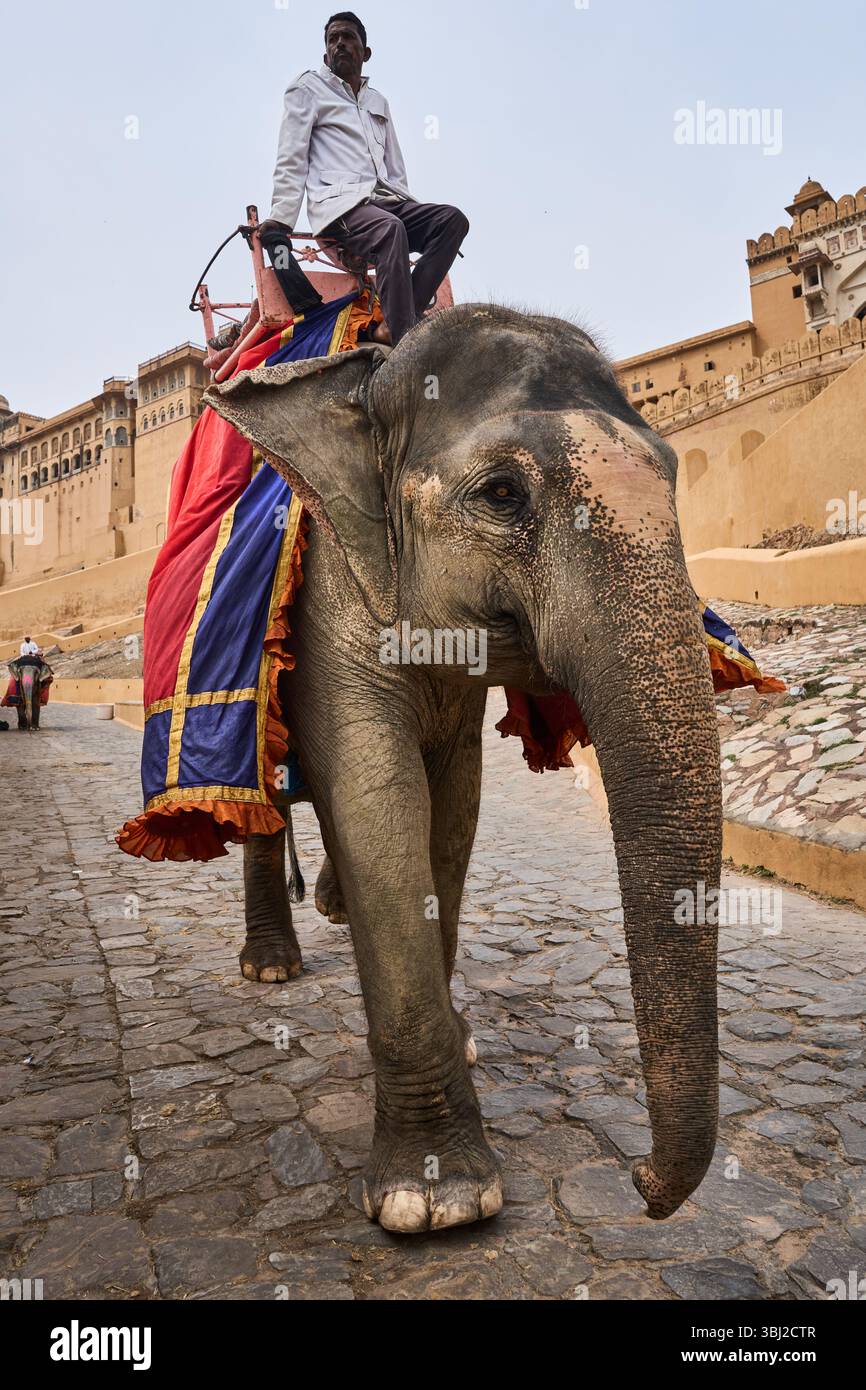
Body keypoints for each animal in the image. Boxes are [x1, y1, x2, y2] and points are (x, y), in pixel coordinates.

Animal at [204, 303, 722, 1235]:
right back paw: (272, 967)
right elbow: (380, 799)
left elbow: (451, 814)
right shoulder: (330, 601)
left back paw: (330, 910)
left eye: (671, 475)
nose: (640, 1184)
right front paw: (437, 1200)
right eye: (503, 495)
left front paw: (464, 1039)